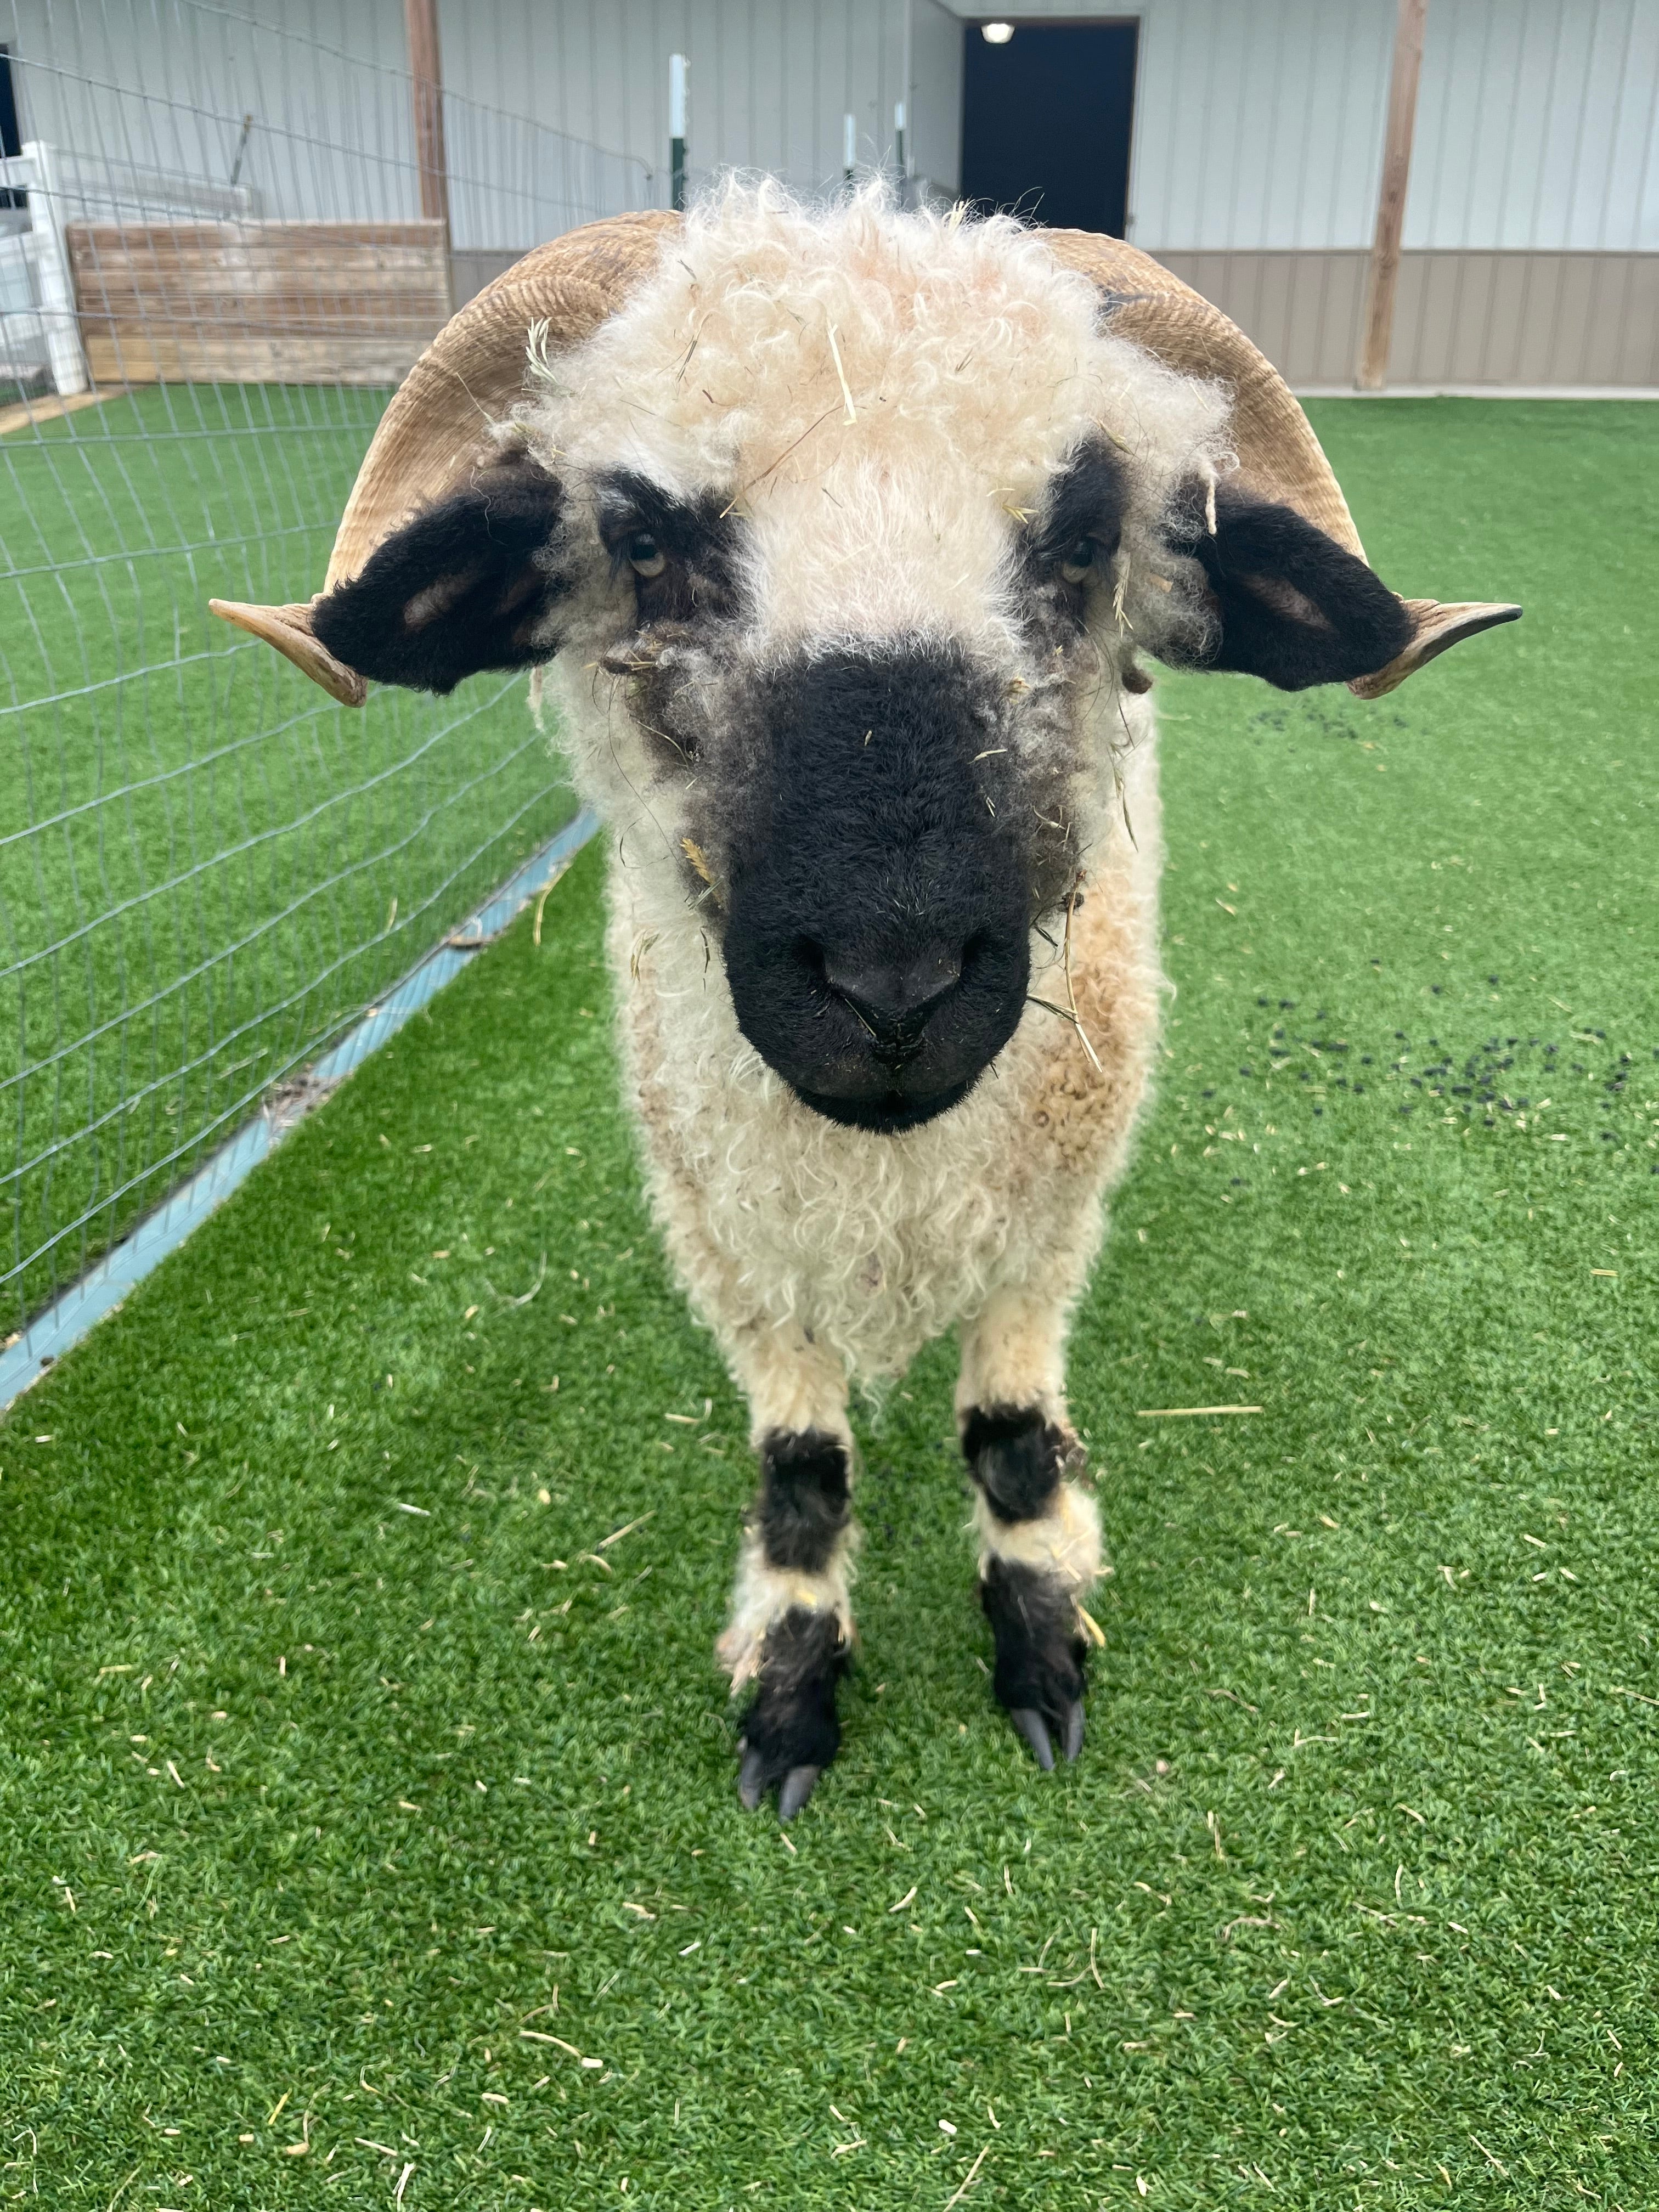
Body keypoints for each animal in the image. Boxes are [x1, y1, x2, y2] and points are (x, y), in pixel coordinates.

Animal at [213, 184, 1517, 1818]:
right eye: (643, 543)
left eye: (1082, 541)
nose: (891, 979)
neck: (886, 1163)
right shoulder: (729, 1233)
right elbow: (801, 1473)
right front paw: (789, 1693)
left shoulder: (1045, 1221)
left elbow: (1012, 1443)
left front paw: (1039, 1650)